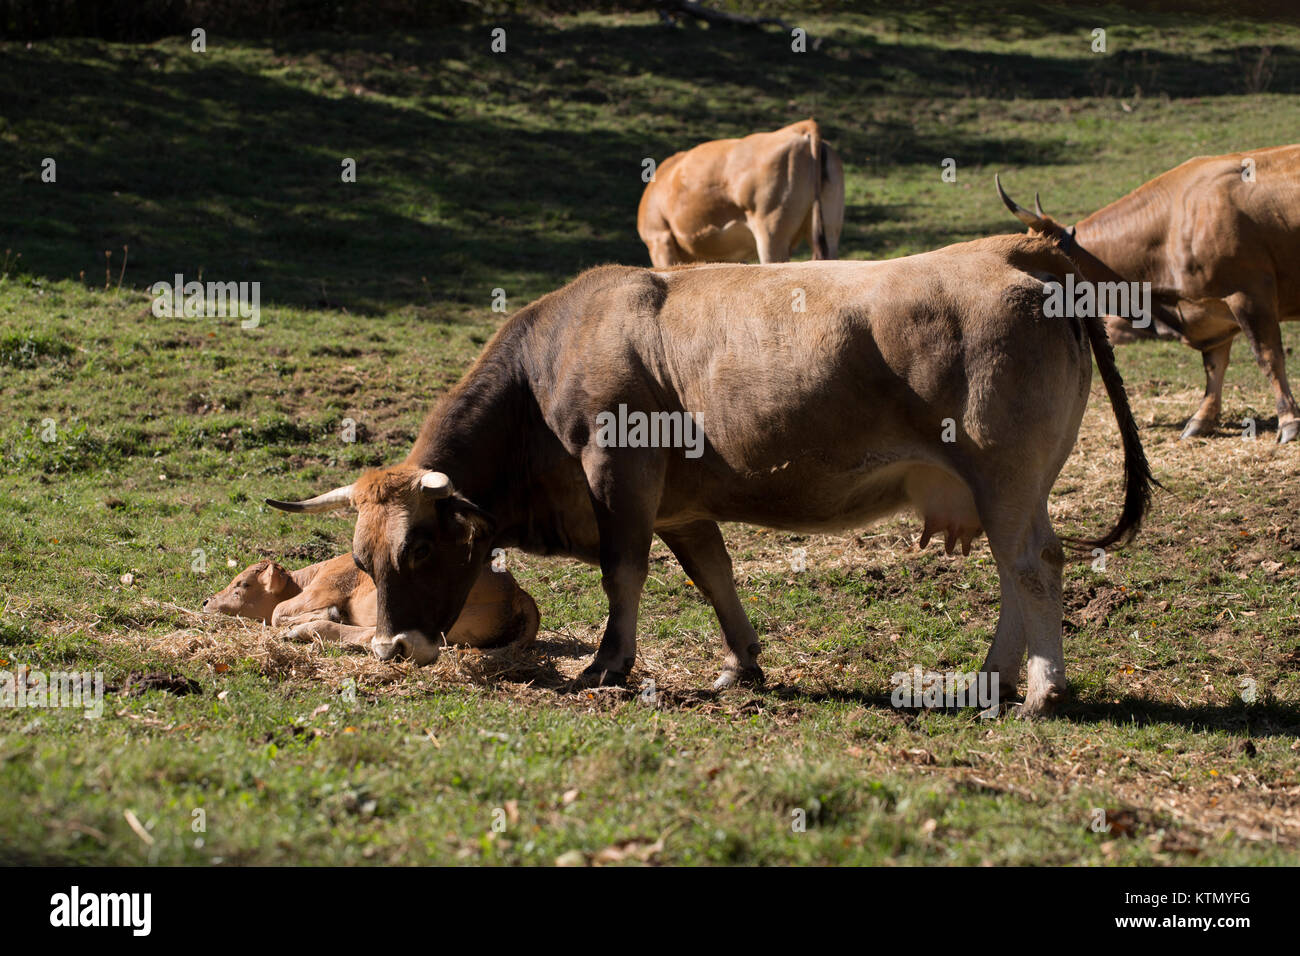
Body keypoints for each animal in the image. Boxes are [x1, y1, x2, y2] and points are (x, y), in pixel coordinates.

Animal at [203, 554, 539, 657]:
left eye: (241, 585)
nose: (207, 600)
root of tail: (517, 590)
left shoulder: (326, 586)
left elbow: (276, 613)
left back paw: (305, 630)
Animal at [266, 234, 1153, 717]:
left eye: (419, 549)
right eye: (359, 559)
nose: (391, 649)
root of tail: (1012, 254)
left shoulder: (619, 476)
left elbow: (623, 576)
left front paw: (607, 666)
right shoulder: (680, 508)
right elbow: (714, 575)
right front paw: (741, 665)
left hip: (1005, 474)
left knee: (1032, 565)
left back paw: (1039, 689)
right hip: (1008, 488)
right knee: (1015, 570)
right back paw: (991, 678)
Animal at [995, 145, 1300, 443]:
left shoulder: (1249, 294)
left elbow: (1268, 357)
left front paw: (1289, 420)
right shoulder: (1212, 312)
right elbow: (1214, 365)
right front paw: (1202, 419)